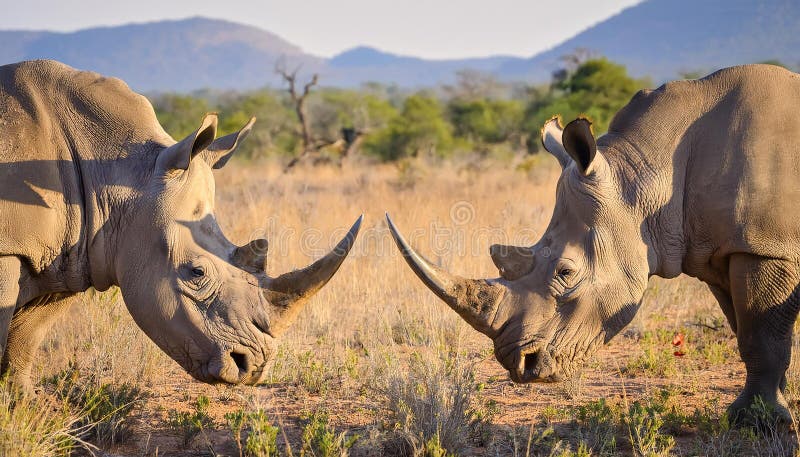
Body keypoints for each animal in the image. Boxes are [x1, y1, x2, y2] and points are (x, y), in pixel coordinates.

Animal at [0, 60, 361, 389]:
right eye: (196, 273)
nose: (252, 367)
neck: (112, 174)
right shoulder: (13, 250)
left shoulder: (71, 257)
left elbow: (22, 348)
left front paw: (22, 409)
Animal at [388, 64, 800, 422]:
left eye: (565, 272)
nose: (518, 364)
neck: (647, 174)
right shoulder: (720, 248)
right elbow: (746, 328)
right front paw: (776, 408)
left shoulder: (765, 248)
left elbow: (759, 334)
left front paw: (756, 422)